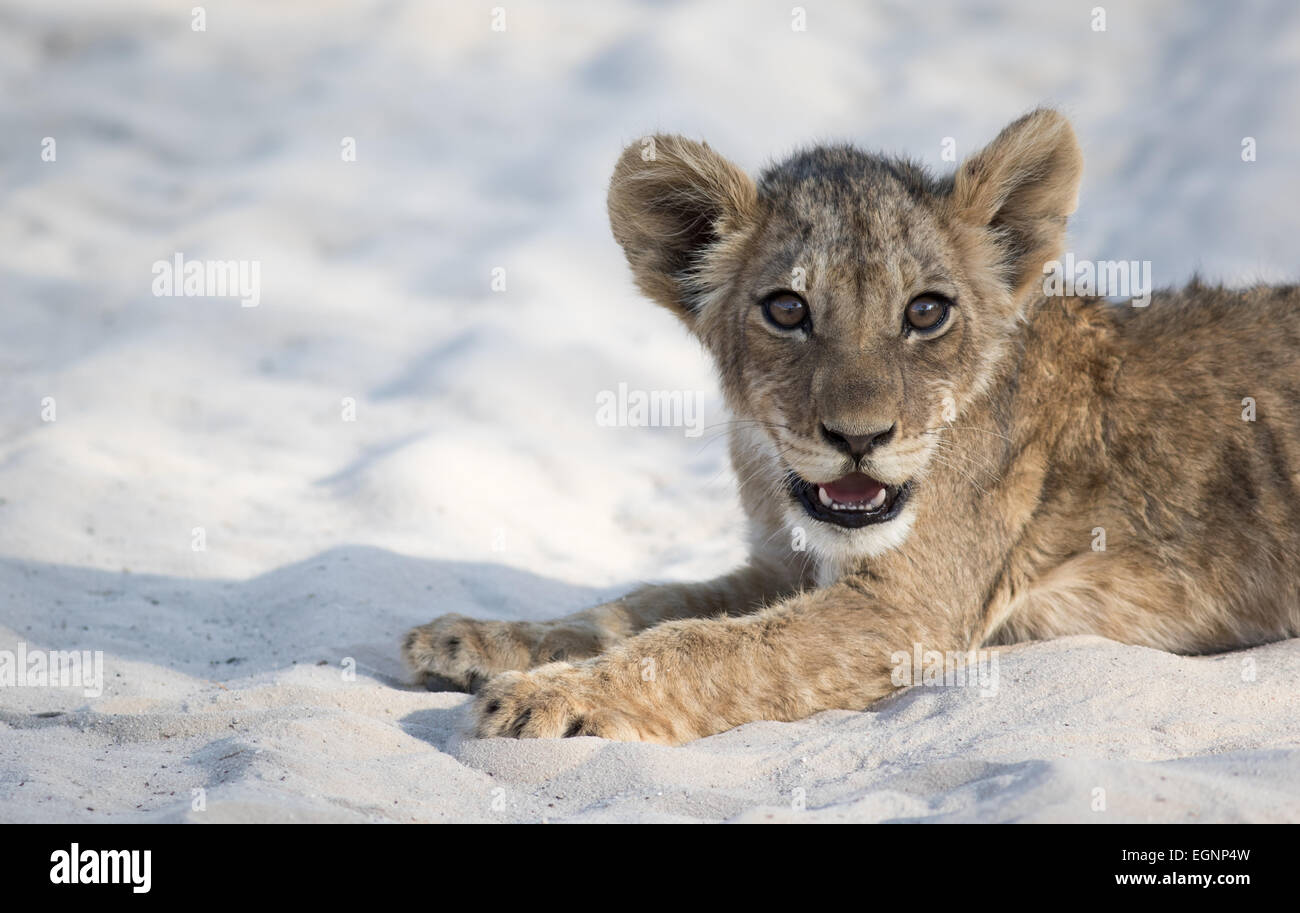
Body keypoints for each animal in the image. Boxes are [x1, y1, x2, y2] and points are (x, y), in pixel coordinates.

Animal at [403, 109, 1300, 745]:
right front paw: (472, 638)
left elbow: (702, 644)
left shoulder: (906, 611)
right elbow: (648, 603)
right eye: (786, 309)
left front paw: (546, 696)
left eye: (927, 312)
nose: (859, 438)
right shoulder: (781, 561)